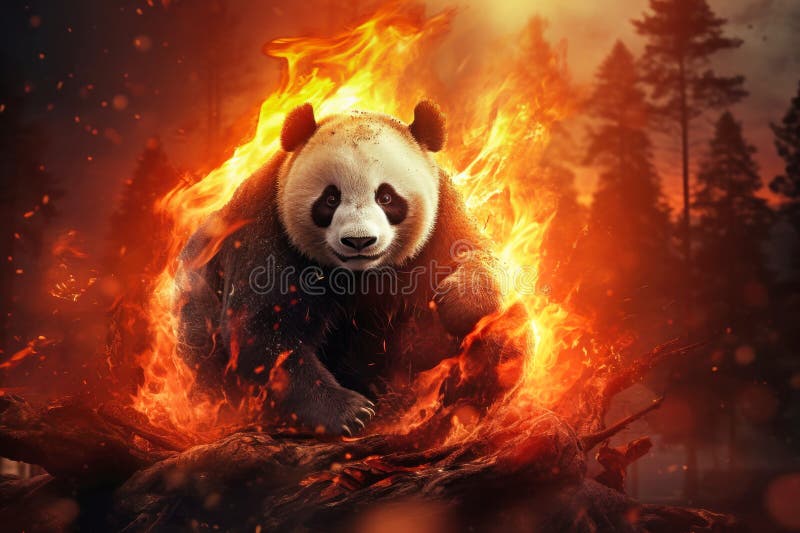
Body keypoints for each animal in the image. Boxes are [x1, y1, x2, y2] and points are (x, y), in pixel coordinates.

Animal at [177, 100, 502, 436]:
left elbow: (474, 253)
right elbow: (261, 330)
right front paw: (350, 412)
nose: (359, 241)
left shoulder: (442, 212)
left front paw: (459, 304)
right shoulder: (265, 227)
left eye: (386, 196)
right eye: (330, 198)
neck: (360, 274)